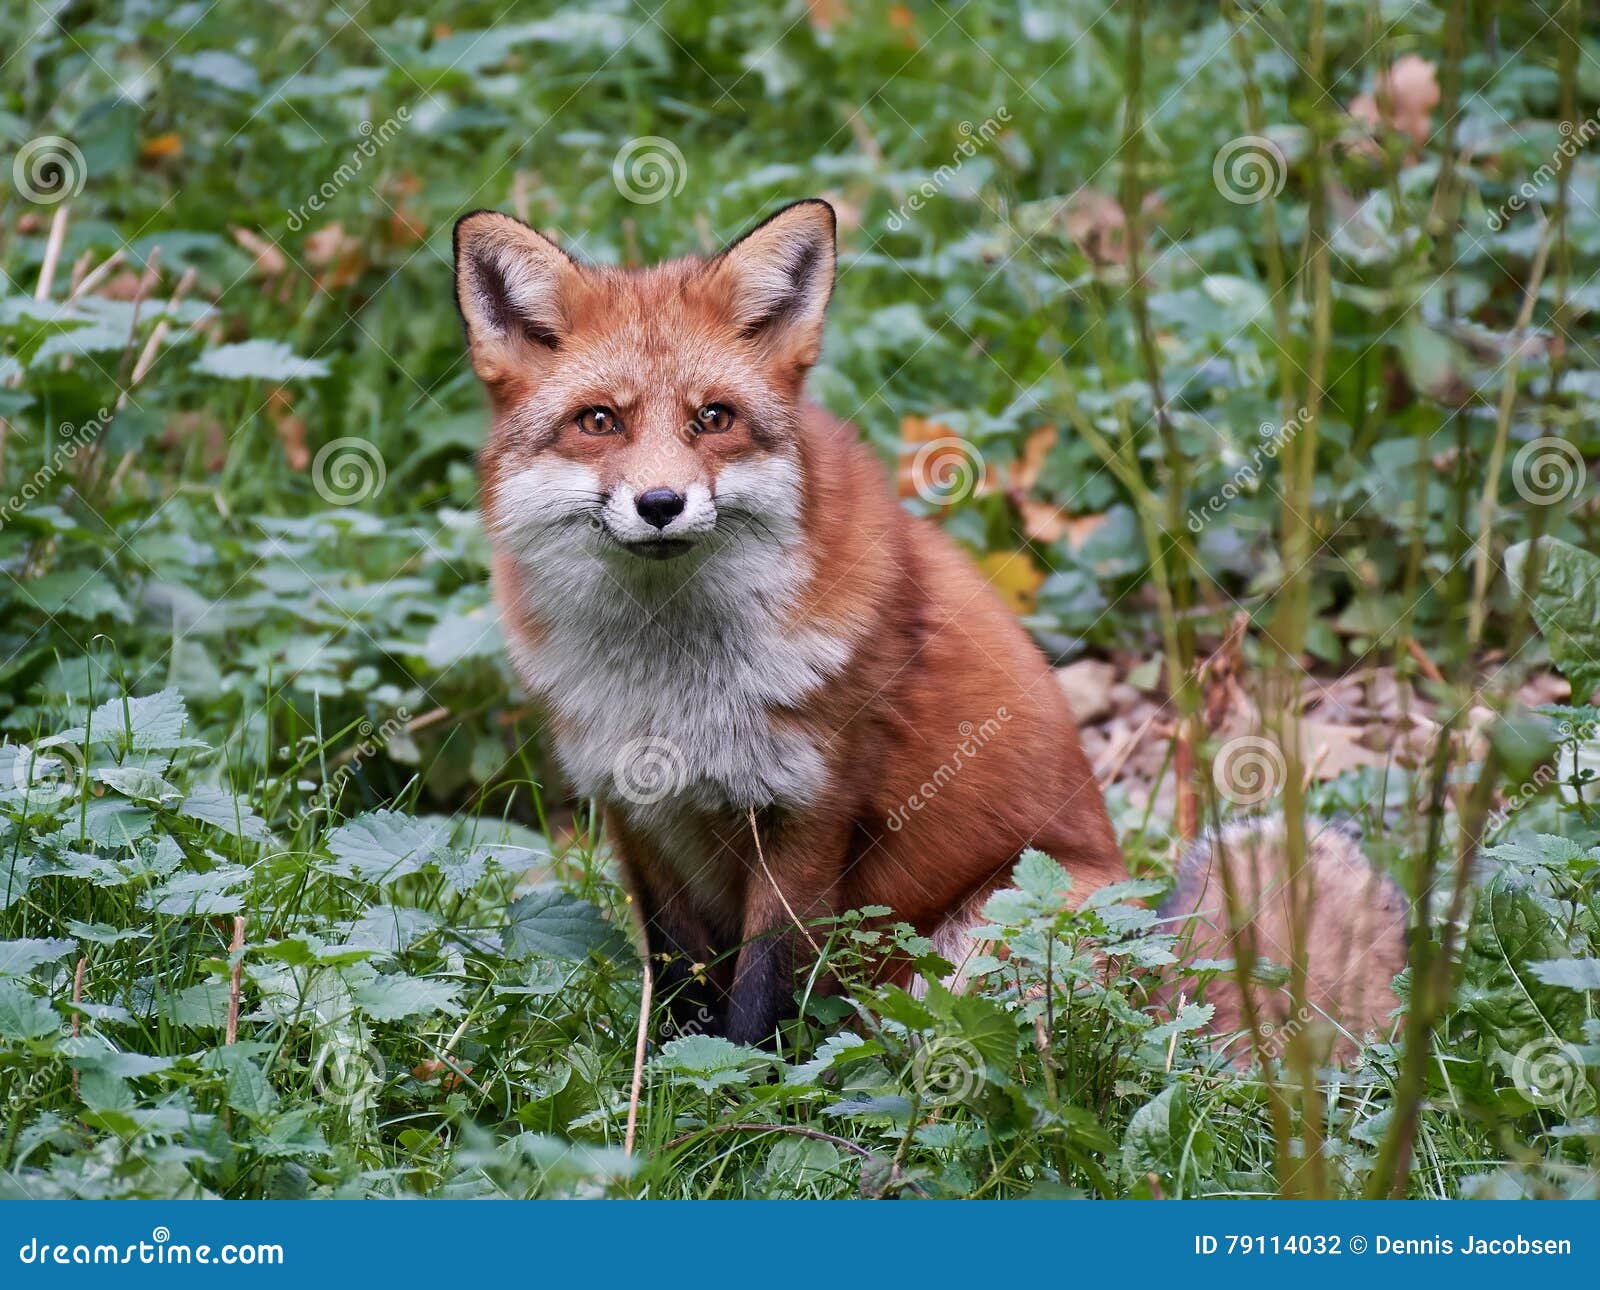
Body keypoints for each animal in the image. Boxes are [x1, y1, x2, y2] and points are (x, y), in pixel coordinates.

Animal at [452, 197, 1406, 1054]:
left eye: (712, 418)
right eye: (599, 421)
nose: (660, 504)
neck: (672, 686)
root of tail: (1161, 982)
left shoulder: (809, 813)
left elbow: (760, 998)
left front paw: (741, 1104)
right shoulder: (637, 818)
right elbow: (680, 987)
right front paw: (666, 1092)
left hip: (983, 937)